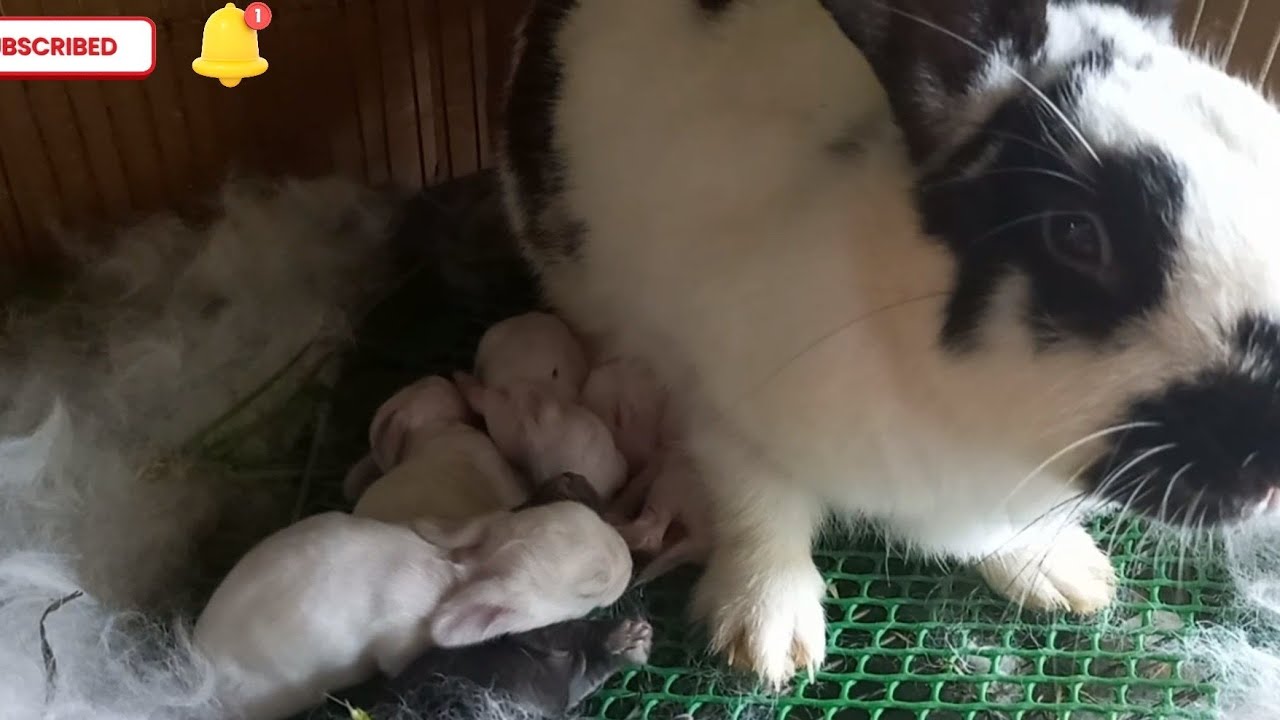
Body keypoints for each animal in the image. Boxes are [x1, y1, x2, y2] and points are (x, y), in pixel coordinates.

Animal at [500, 0, 1280, 690]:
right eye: (1077, 235)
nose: (1267, 471)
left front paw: (1067, 576)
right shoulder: (727, 407)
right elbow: (759, 511)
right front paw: (767, 638)